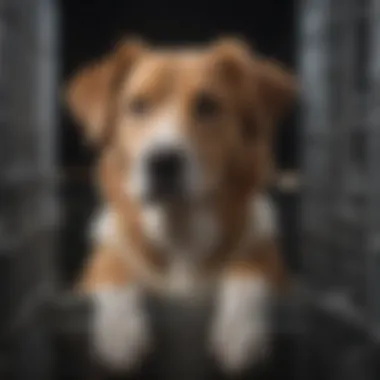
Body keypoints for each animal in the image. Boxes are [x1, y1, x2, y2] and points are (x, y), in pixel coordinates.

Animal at [64, 37, 296, 376]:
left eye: (208, 105)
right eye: (137, 105)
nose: (163, 162)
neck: (178, 229)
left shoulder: (262, 250)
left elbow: (252, 266)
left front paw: (241, 331)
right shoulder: (109, 251)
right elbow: (110, 267)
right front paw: (120, 331)